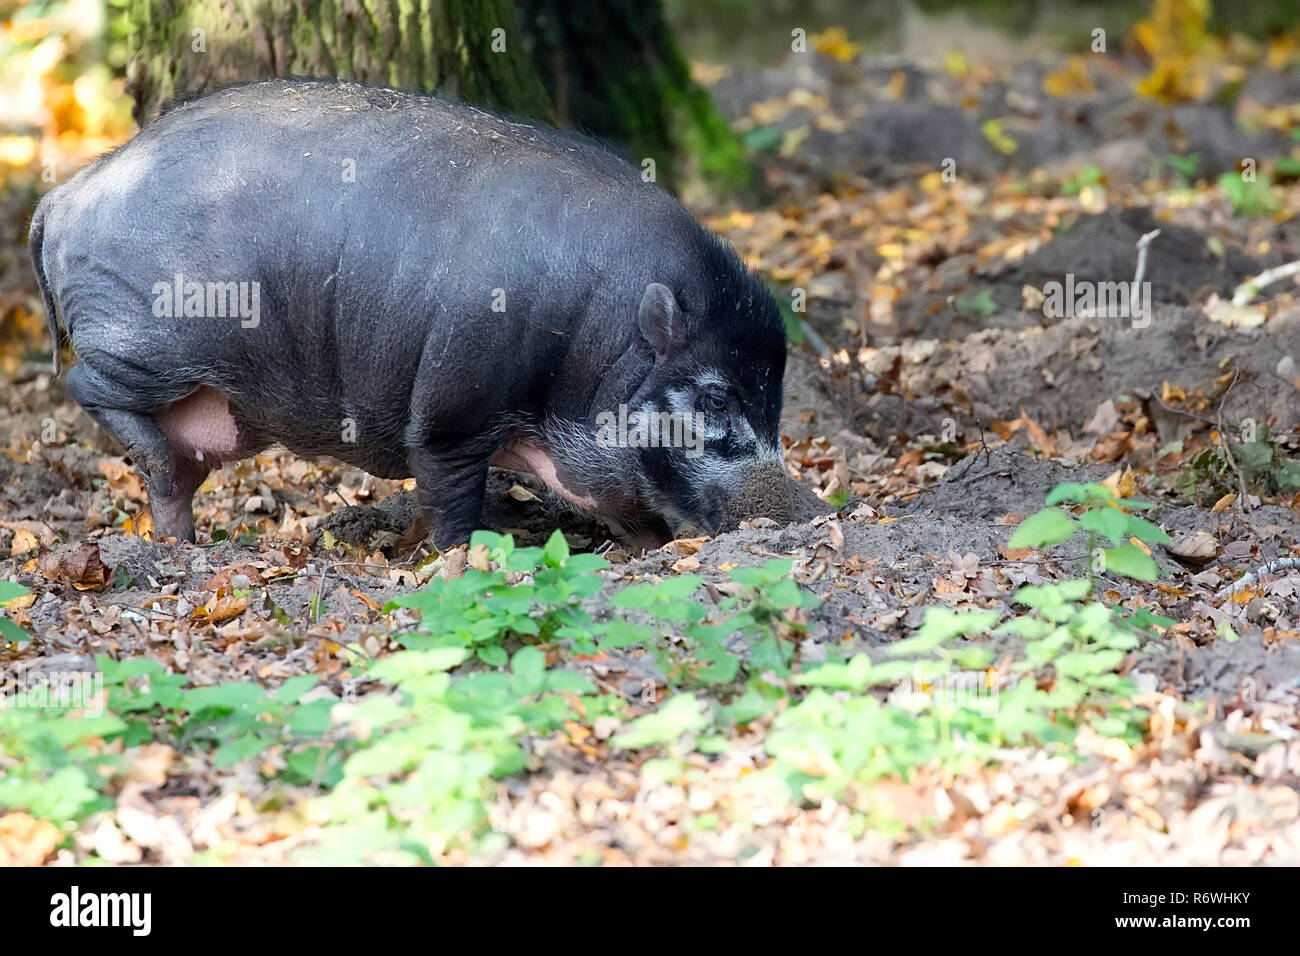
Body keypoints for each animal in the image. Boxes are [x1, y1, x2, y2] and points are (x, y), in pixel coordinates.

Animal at [29, 78, 786, 549]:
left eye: (776, 399)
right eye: (714, 397)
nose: (799, 510)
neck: (596, 339)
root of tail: (68, 195)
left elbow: (630, 511)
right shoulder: (452, 409)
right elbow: (450, 496)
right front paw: (458, 557)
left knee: (177, 473)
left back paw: (182, 545)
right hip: (144, 340)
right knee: (85, 386)